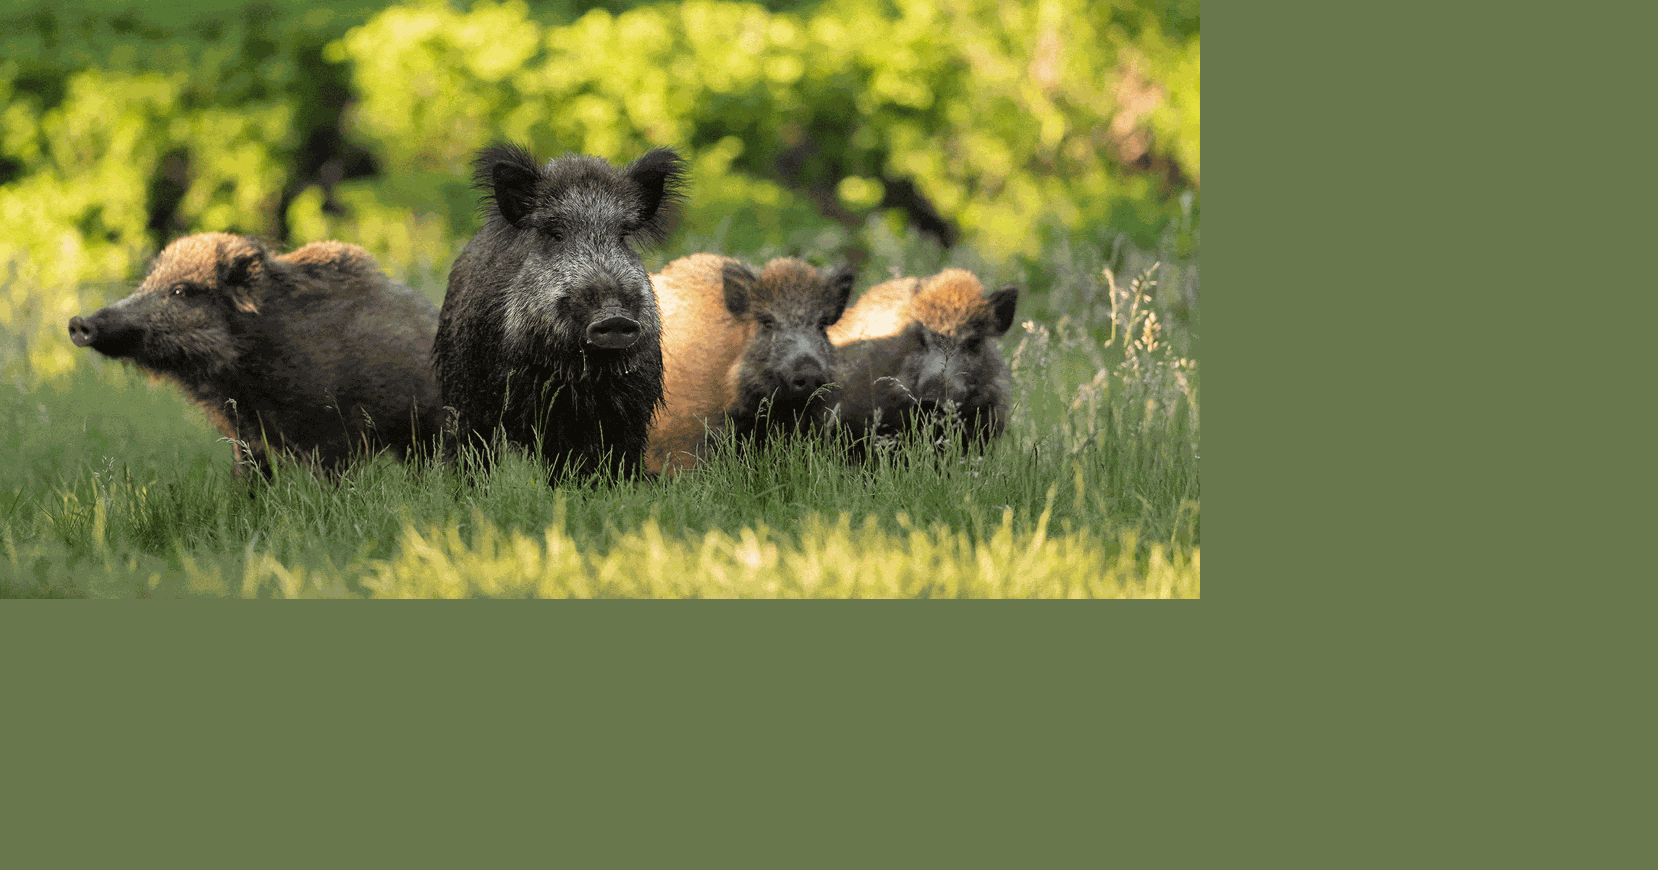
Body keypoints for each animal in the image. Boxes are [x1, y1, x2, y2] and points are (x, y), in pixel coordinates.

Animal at [66, 232, 444, 478]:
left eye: (181, 291)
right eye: (147, 284)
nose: (78, 323)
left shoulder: (331, 430)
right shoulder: (244, 434)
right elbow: (250, 477)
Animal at [431, 143, 686, 482]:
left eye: (622, 236)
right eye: (555, 234)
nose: (614, 315)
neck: (586, 373)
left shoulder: (632, 401)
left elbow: (619, 455)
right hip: (461, 390)